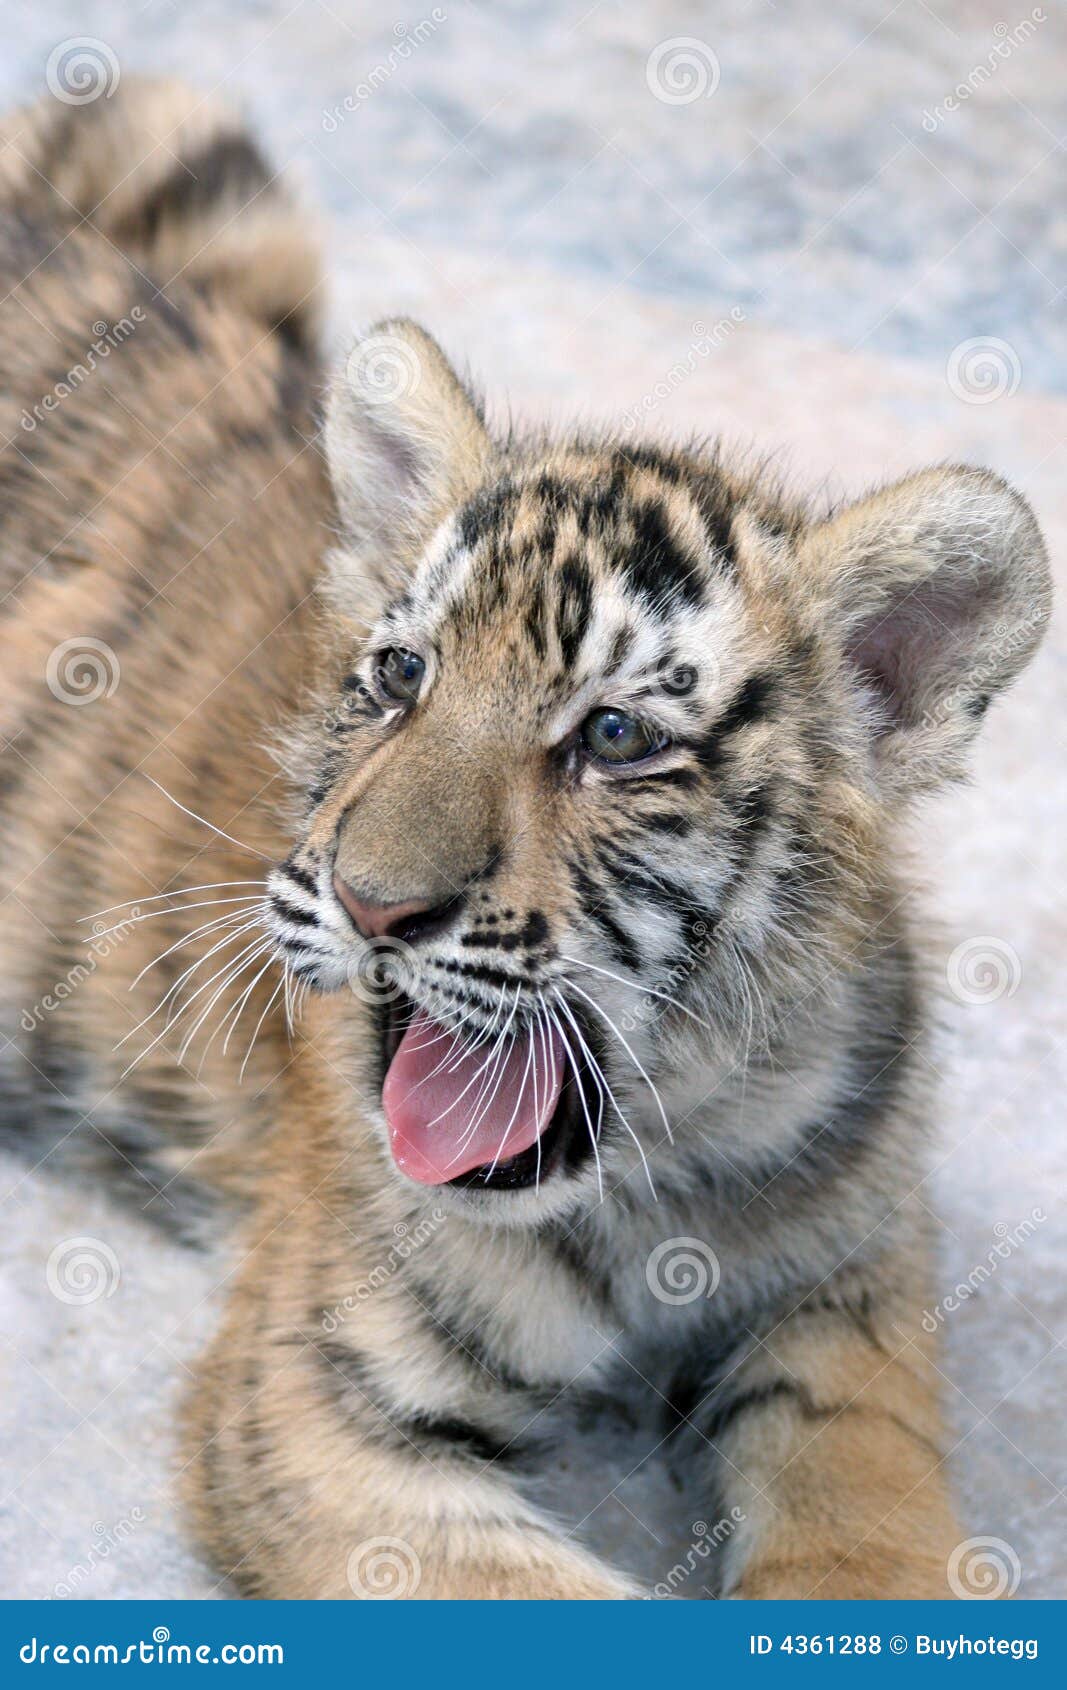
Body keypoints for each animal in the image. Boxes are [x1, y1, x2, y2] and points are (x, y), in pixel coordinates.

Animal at [0, 80, 1050, 1601]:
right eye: (399, 676)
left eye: (611, 737)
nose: (372, 906)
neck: (652, 1169)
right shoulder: (316, 1399)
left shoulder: (848, 1278)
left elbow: (864, 1503)